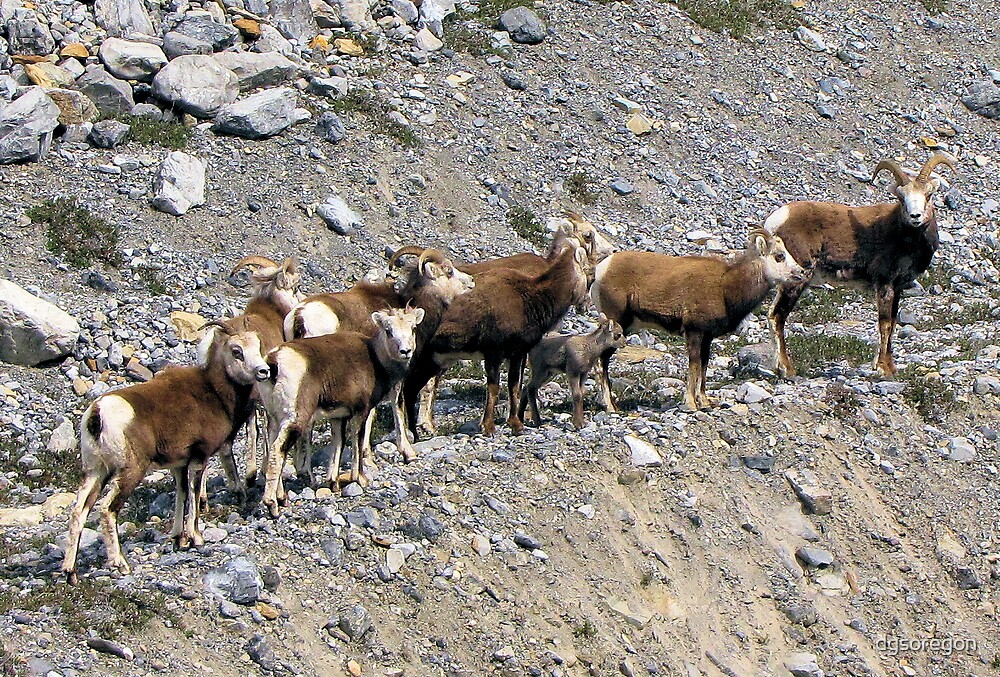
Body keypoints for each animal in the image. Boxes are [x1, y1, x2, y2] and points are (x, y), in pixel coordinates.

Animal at [62, 317, 270, 584]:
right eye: (237, 351)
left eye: (258, 346)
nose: (263, 371)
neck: (214, 392)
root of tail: (98, 415)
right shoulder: (199, 458)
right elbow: (194, 496)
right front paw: (196, 539)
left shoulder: (178, 465)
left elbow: (181, 495)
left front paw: (178, 539)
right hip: (129, 471)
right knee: (107, 510)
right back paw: (121, 565)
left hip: (96, 471)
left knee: (79, 511)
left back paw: (70, 573)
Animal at [257, 306, 425, 516]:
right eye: (388, 330)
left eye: (412, 328)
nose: (405, 352)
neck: (375, 359)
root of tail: (274, 363)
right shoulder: (360, 412)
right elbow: (357, 442)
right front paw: (360, 479)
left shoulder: (338, 417)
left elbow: (338, 443)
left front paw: (333, 483)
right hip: (294, 419)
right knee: (277, 451)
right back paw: (272, 504)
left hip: (274, 420)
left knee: (272, 449)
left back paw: (282, 498)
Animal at [413, 213, 617, 437]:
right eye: (588, 234)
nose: (586, 305)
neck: (533, 294)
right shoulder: (496, 353)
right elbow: (499, 387)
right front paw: (494, 425)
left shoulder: (517, 352)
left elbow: (514, 384)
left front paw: (516, 423)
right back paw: (426, 426)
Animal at [591, 230, 805, 411]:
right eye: (779, 256)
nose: (802, 271)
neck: (725, 287)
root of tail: (601, 270)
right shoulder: (694, 332)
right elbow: (694, 365)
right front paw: (691, 404)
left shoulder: (707, 338)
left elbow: (703, 365)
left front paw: (704, 402)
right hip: (617, 327)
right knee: (602, 363)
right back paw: (610, 407)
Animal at [765, 153, 957, 377]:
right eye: (902, 198)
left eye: (928, 195)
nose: (915, 216)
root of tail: (776, 221)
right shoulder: (884, 285)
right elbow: (885, 324)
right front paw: (882, 368)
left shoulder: (897, 288)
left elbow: (893, 323)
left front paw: (891, 367)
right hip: (796, 280)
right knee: (777, 316)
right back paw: (787, 369)